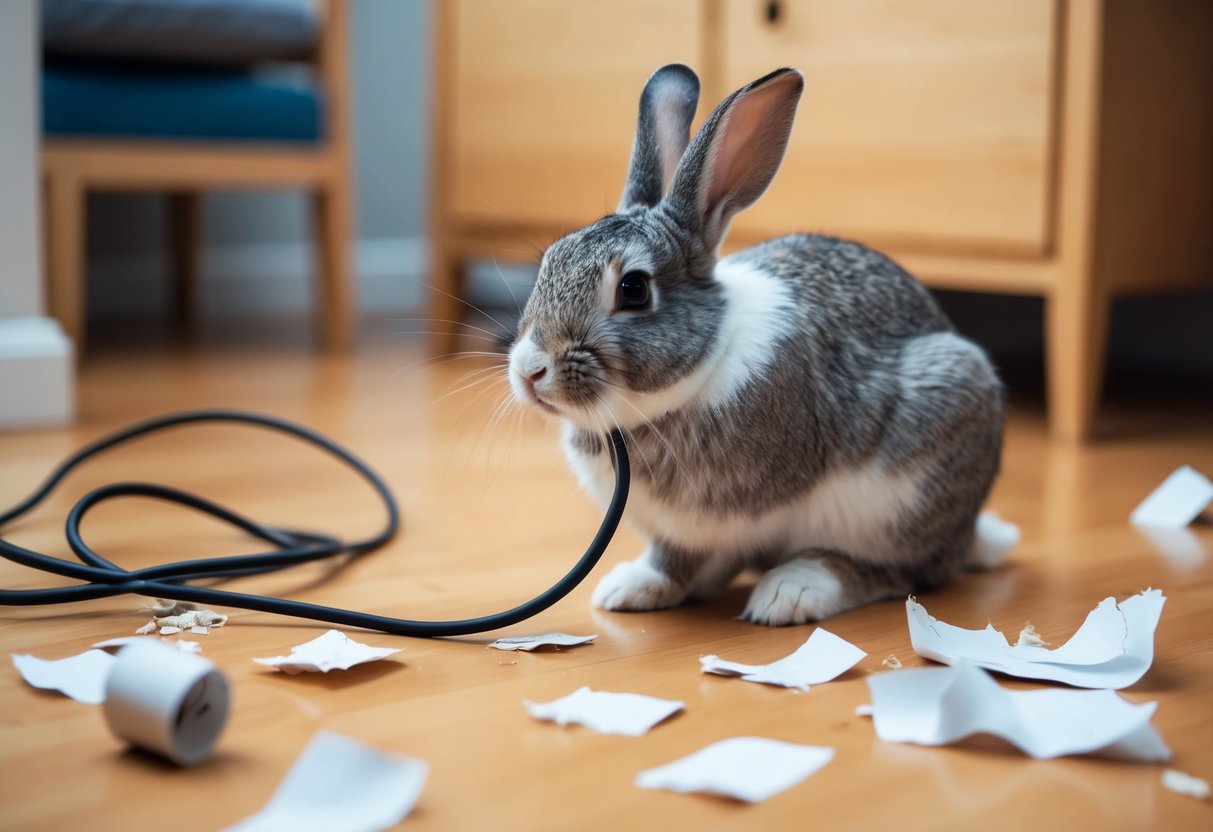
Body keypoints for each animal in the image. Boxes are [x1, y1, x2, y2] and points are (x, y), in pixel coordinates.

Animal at [507, 64, 1006, 625]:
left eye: (633, 289)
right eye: (550, 259)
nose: (530, 370)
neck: (702, 366)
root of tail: (967, 531)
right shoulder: (687, 535)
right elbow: (673, 560)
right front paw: (631, 589)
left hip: (911, 487)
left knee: (904, 571)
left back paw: (792, 592)